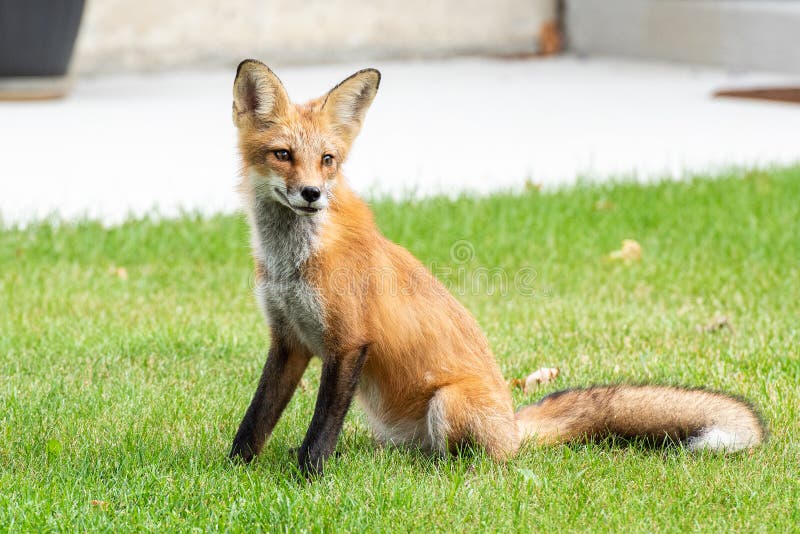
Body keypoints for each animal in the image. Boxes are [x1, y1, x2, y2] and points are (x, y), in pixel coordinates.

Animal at [227, 60, 765, 475]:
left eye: (328, 160)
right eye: (283, 155)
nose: (312, 194)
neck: (291, 261)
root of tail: (513, 424)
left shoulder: (348, 342)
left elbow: (322, 427)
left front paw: (309, 475)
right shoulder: (290, 340)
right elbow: (257, 417)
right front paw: (235, 469)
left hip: (448, 403)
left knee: (476, 461)